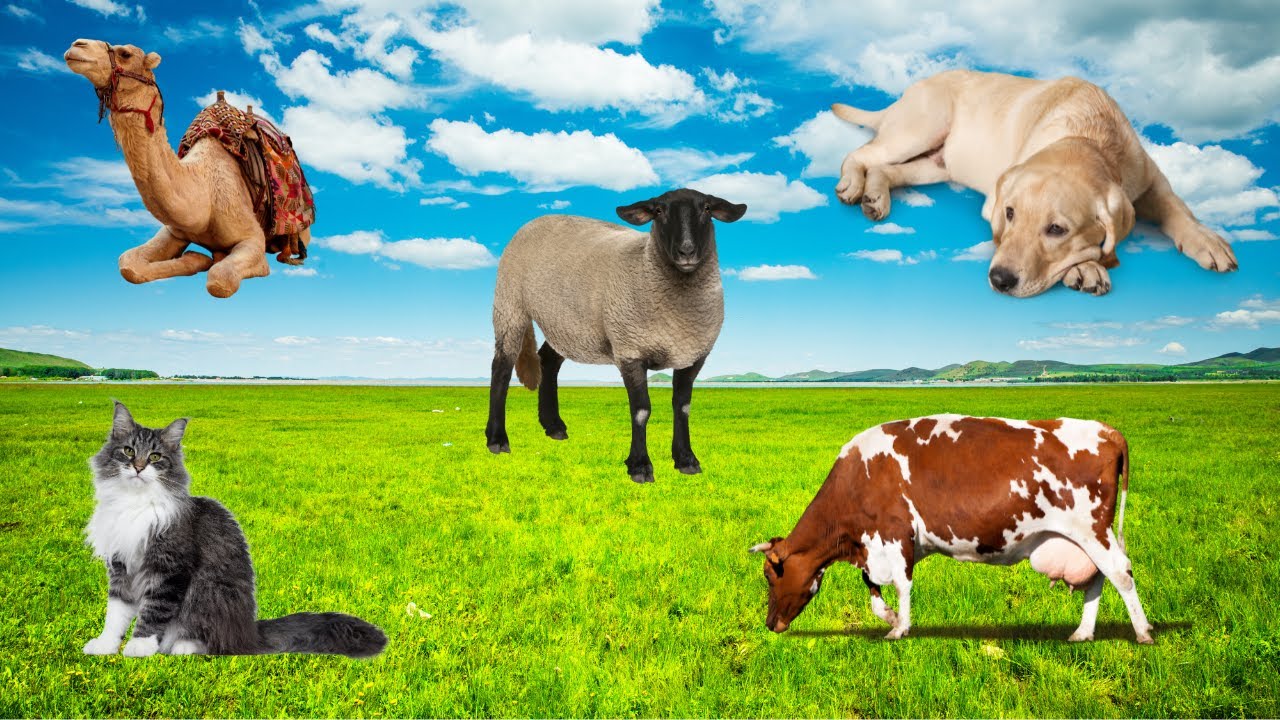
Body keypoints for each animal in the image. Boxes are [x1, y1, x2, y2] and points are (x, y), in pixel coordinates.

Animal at [485, 188, 747, 483]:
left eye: (707, 209)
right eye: (659, 211)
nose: (687, 251)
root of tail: (534, 221)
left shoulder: (691, 355)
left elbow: (682, 407)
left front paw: (686, 459)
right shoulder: (630, 350)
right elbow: (641, 411)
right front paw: (640, 466)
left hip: (566, 324)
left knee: (547, 362)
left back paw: (553, 426)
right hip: (510, 305)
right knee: (501, 368)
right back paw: (497, 439)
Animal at [750, 414, 1155, 643]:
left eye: (770, 577)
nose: (770, 624)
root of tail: (1107, 431)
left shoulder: (895, 533)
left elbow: (901, 585)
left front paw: (900, 628)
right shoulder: (873, 546)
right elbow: (873, 590)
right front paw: (891, 618)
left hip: (1091, 528)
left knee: (1120, 572)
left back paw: (1143, 633)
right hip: (1084, 539)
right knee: (1099, 577)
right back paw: (1083, 633)